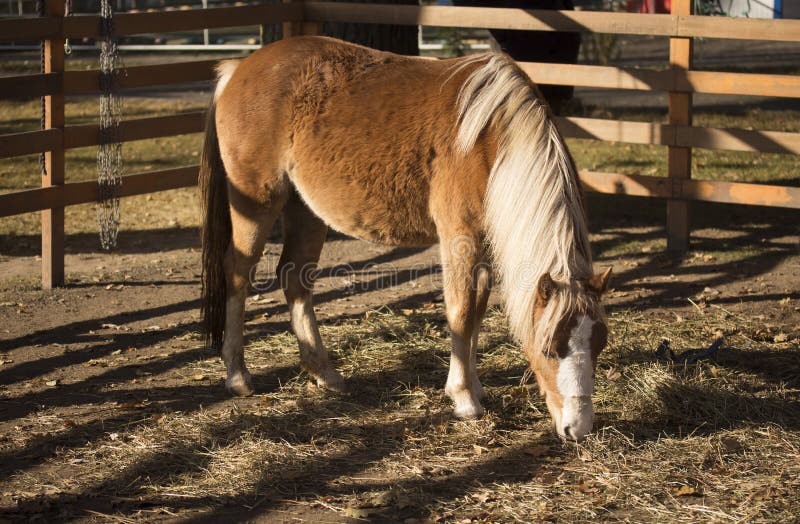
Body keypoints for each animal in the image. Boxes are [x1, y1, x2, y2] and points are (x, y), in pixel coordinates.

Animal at [199, 35, 611, 441]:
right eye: (550, 349)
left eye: (599, 345)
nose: (578, 428)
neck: (492, 140)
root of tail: (240, 68)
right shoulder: (460, 239)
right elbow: (461, 312)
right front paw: (463, 398)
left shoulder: (482, 246)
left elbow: (477, 311)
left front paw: (475, 387)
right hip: (256, 203)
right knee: (237, 274)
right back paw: (237, 375)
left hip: (306, 211)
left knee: (295, 279)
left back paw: (324, 374)